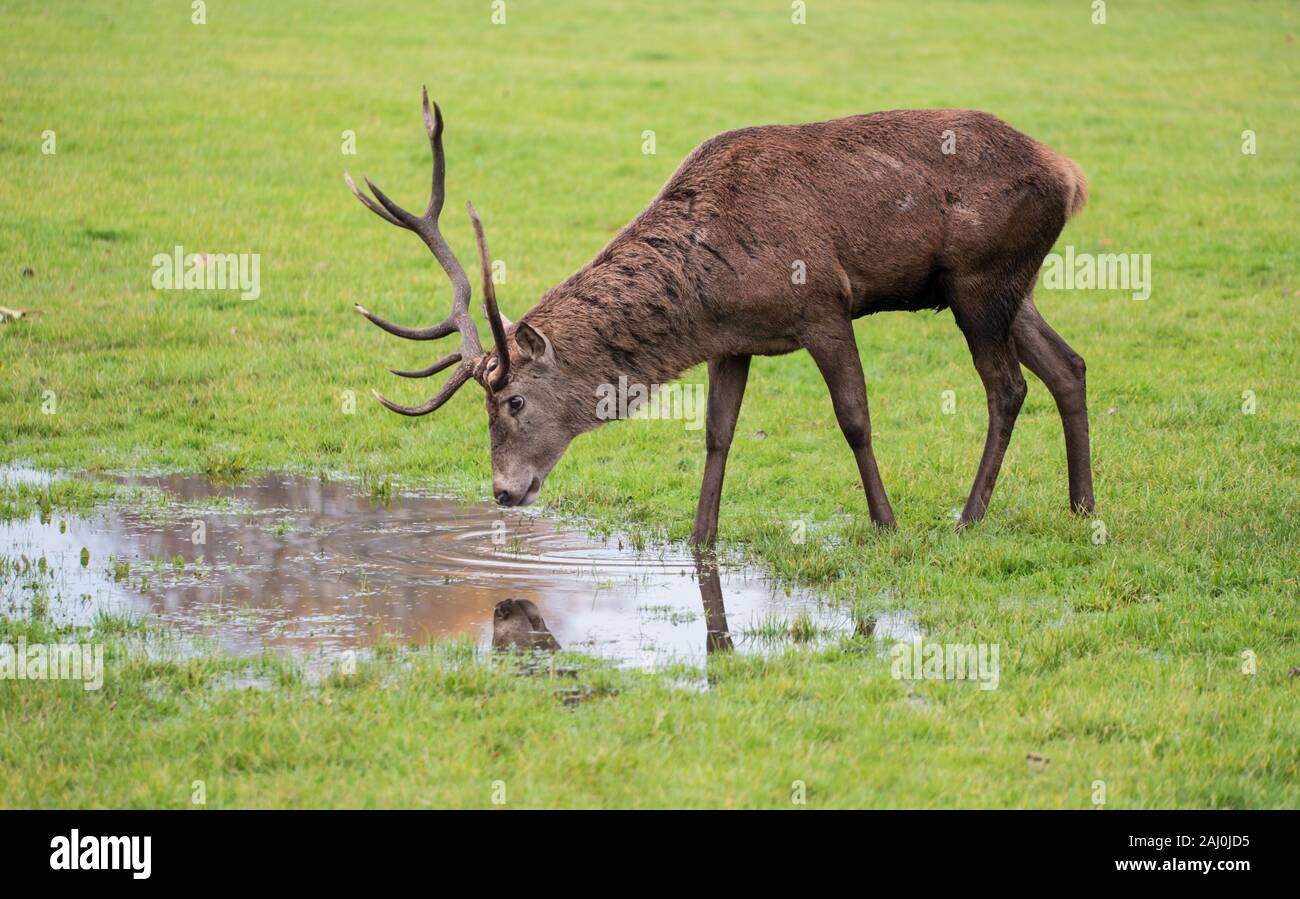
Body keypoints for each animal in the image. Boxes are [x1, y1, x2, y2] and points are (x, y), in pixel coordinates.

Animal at [346, 88, 1094, 547]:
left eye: (515, 402)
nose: (503, 492)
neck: (712, 285)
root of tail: (1071, 174)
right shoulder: (734, 342)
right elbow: (717, 434)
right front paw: (700, 534)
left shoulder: (825, 306)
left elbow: (854, 418)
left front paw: (886, 524)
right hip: (1008, 286)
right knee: (1069, 366)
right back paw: (1082, 506)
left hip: (979, 281)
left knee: (1008, 387)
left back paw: (969, 517)